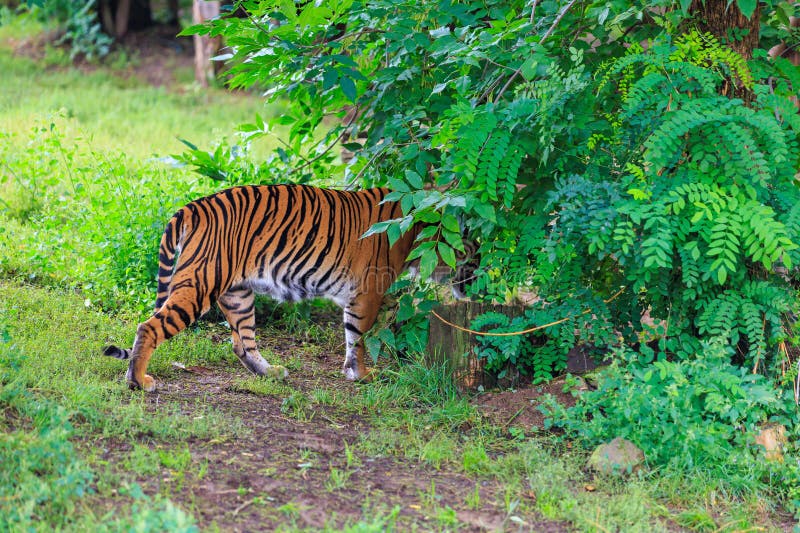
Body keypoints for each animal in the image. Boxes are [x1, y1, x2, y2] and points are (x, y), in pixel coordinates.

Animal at [102, 184, 476, 391]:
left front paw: (350, 371)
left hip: (238, 294)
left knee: (242, 343)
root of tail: (192, 206)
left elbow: (351, 334)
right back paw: (138, 382)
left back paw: (271, 373)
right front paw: (362, 374)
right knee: (149, 327)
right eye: (475, 246)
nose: (478, 280)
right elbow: (359, 337)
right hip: (199, 284)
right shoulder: (368, 292)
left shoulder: (354, 296)